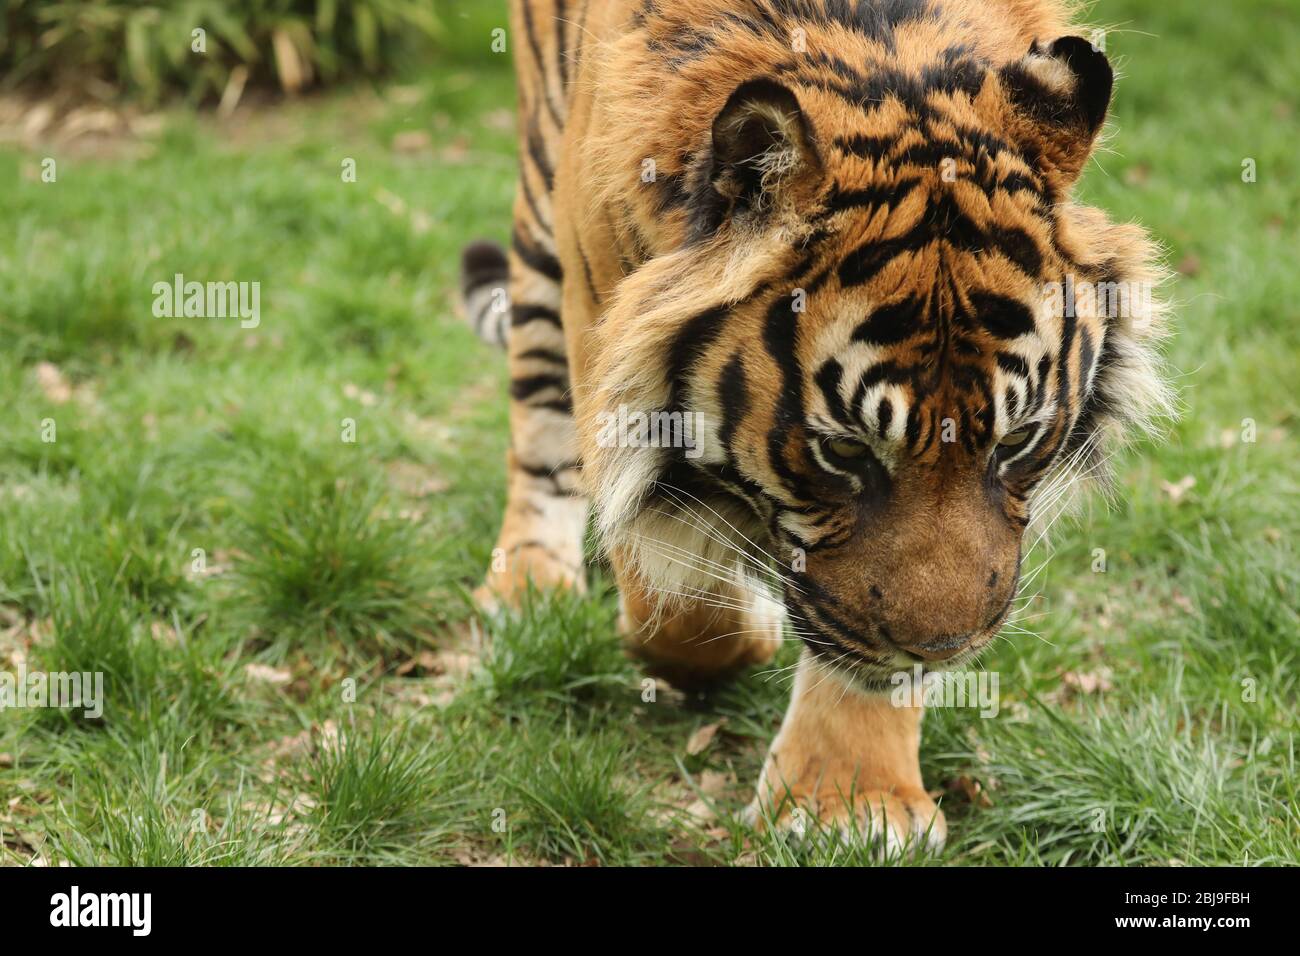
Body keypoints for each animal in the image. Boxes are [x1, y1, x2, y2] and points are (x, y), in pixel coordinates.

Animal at [459, 0, 1172, 852]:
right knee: (538, 429)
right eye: (844, 452)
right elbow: (677, 591)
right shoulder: (603, 313)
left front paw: (852, 800)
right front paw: (740, 634)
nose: (947, 649)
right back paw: (528, 581)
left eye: (1017, 440)